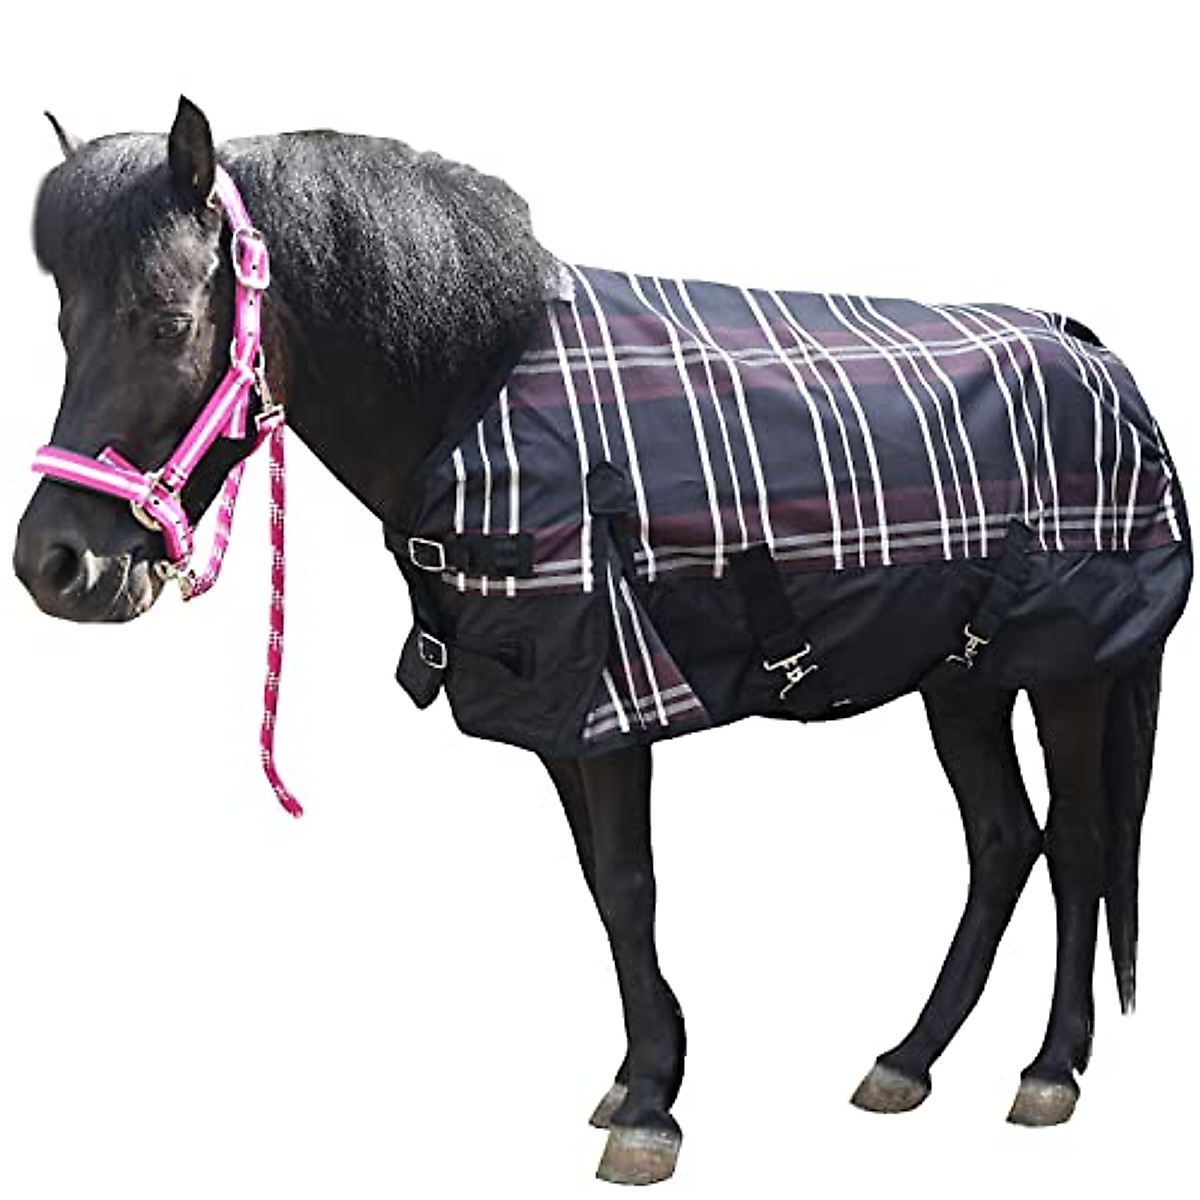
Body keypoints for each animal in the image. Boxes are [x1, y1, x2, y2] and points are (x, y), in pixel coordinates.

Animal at [12, 97, 1191, 1185]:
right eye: (65, 324)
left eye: (166, 323)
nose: (55, 565)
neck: (479, 393)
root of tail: (1095, 356)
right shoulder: (558, 717)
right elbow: (597, 883)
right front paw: (634, 1077)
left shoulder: (612, 697)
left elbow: (630, 886)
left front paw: (654, 1110)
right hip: (965, 676)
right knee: (1002, 841)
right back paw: (908, 1059)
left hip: (1068, 670)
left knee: (1080, 843)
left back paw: (1049, 1070)